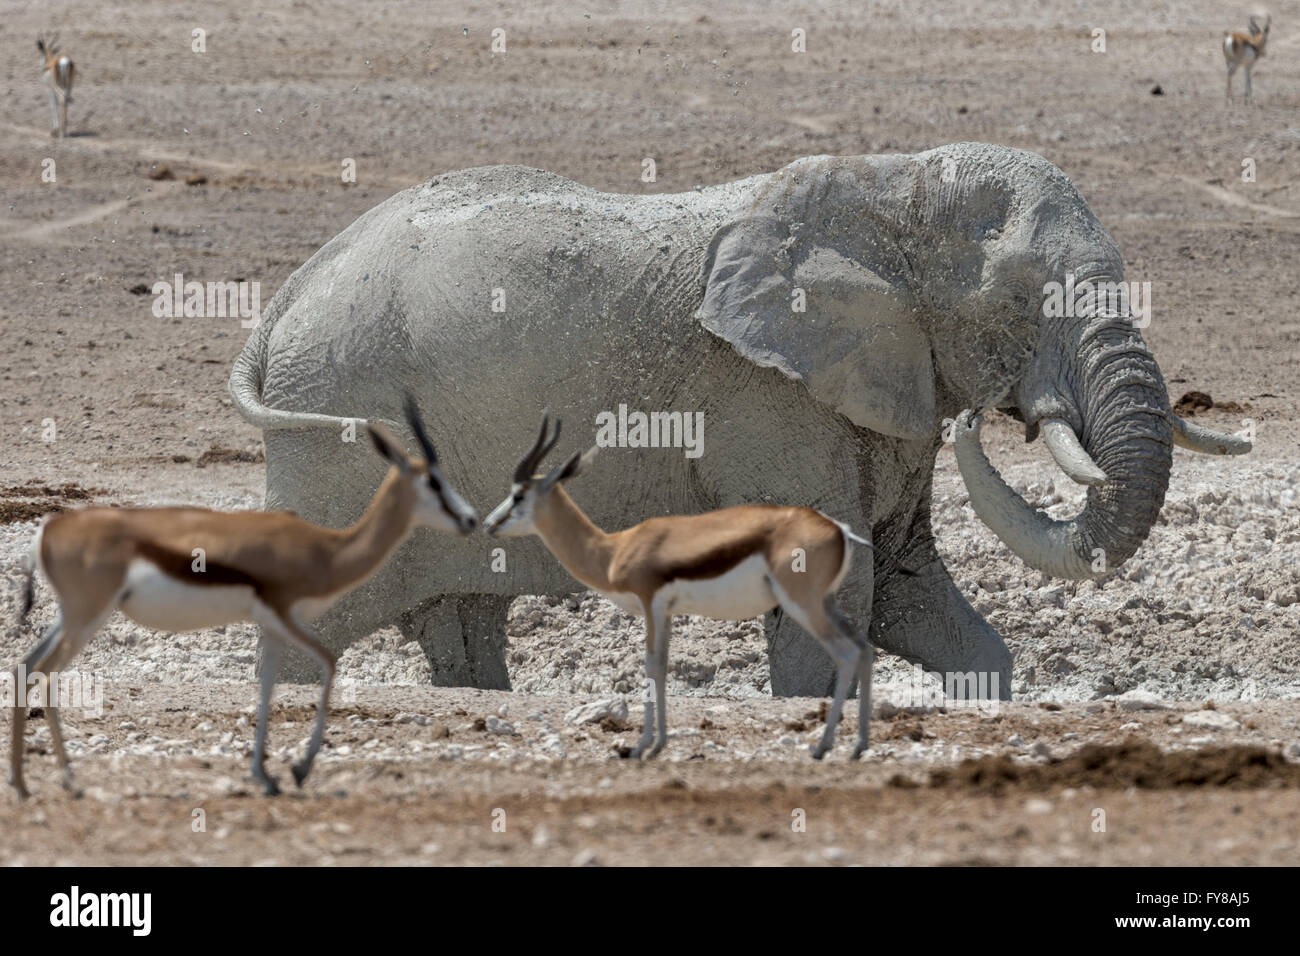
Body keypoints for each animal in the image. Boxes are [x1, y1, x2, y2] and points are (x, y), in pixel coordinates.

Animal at [228, 141, 1250, 697]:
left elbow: (909, 586)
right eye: (1017, 299)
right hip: (342, 434)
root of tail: (284, 303)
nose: (1000, 421)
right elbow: (833, 575)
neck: (891, 186)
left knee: (465, 621)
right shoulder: (771, 391)